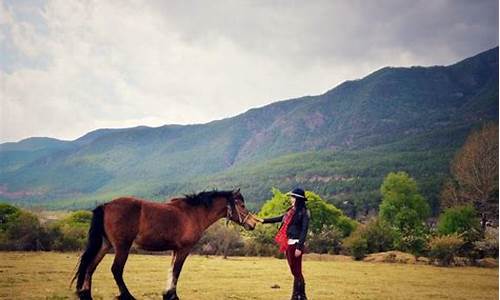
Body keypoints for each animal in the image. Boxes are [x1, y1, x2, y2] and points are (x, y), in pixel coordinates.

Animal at [72, 190, 260, 300]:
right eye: (242, 205)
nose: (252, 224)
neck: (193, 213)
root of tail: (105, 206)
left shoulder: (175, 250)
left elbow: (171, 270)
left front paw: (167, 294)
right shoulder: (183, 249)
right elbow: (177, 271)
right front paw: (172, 295)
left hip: (105, 246)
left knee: (90, 267)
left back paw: (86, 295)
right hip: (122, 247)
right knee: (116, 270)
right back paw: (128, 296)